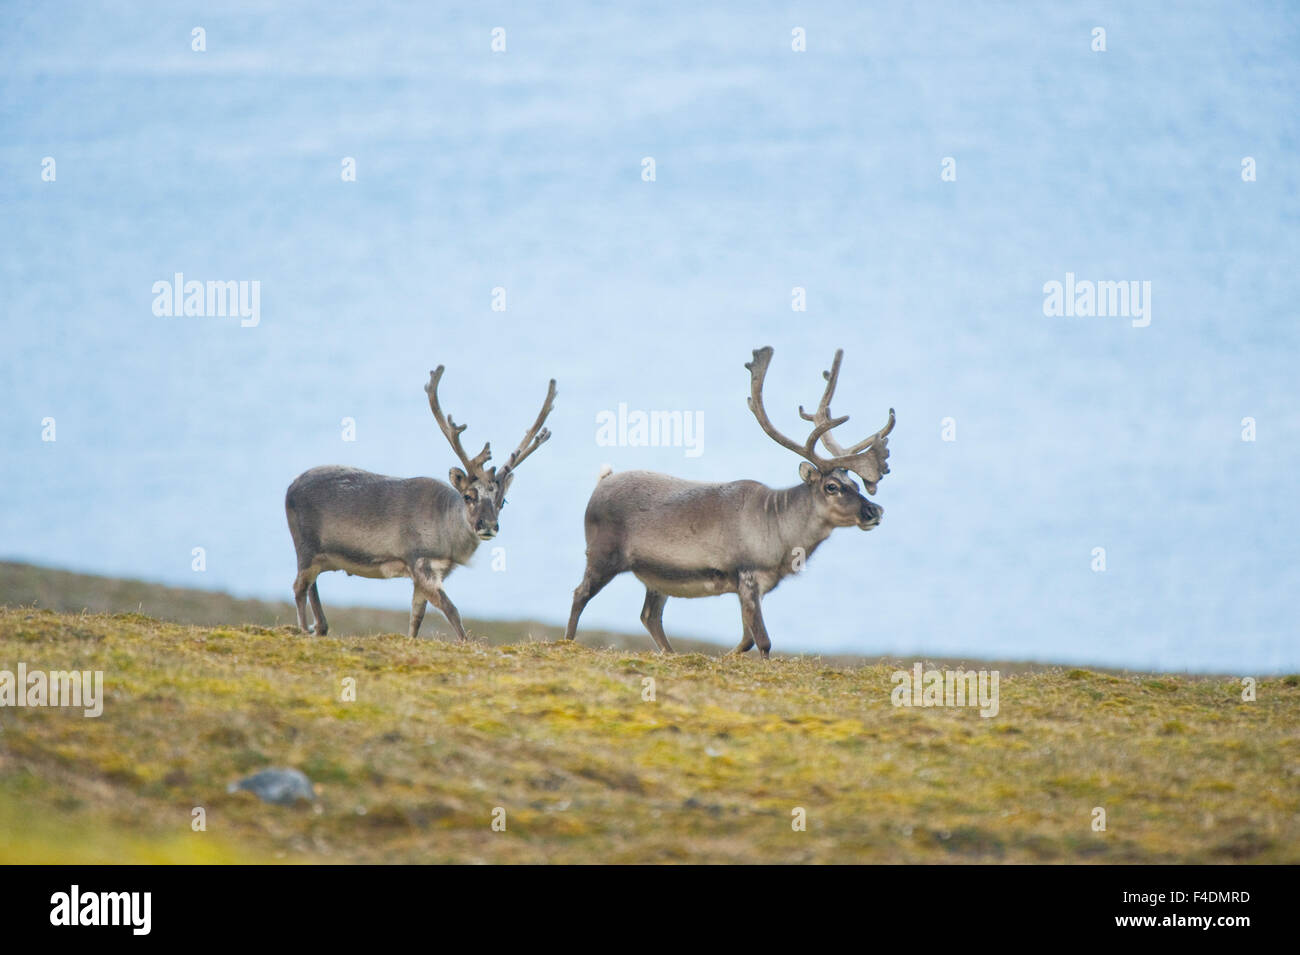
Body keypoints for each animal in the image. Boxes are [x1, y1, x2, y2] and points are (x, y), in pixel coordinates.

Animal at [285, 366, 556, 640]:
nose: (488, 525)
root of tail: (289, 487)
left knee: (311, 589)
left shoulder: (428, 574)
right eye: (468, 495)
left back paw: (319, 627)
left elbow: (416, 618)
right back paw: (303, 630)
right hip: (305, 547)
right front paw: (466, 642)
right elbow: (452, 611)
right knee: (298, 587)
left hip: (320, 557)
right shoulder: (420, 562)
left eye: (503, 500)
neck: (448, 541)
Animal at [563, 346, 893, 658]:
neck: (782, 532)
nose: (874, 510)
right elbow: (763, 641)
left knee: (649, 616)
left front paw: (723, 658)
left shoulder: (755, 587)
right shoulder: (747, 577)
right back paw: (567, 642)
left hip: (656, 577)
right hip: (602, 555)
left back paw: (670, 653)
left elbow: (746, 640)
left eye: (856, 484)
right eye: (832, 486)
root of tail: (602, 481)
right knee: (580, 593)